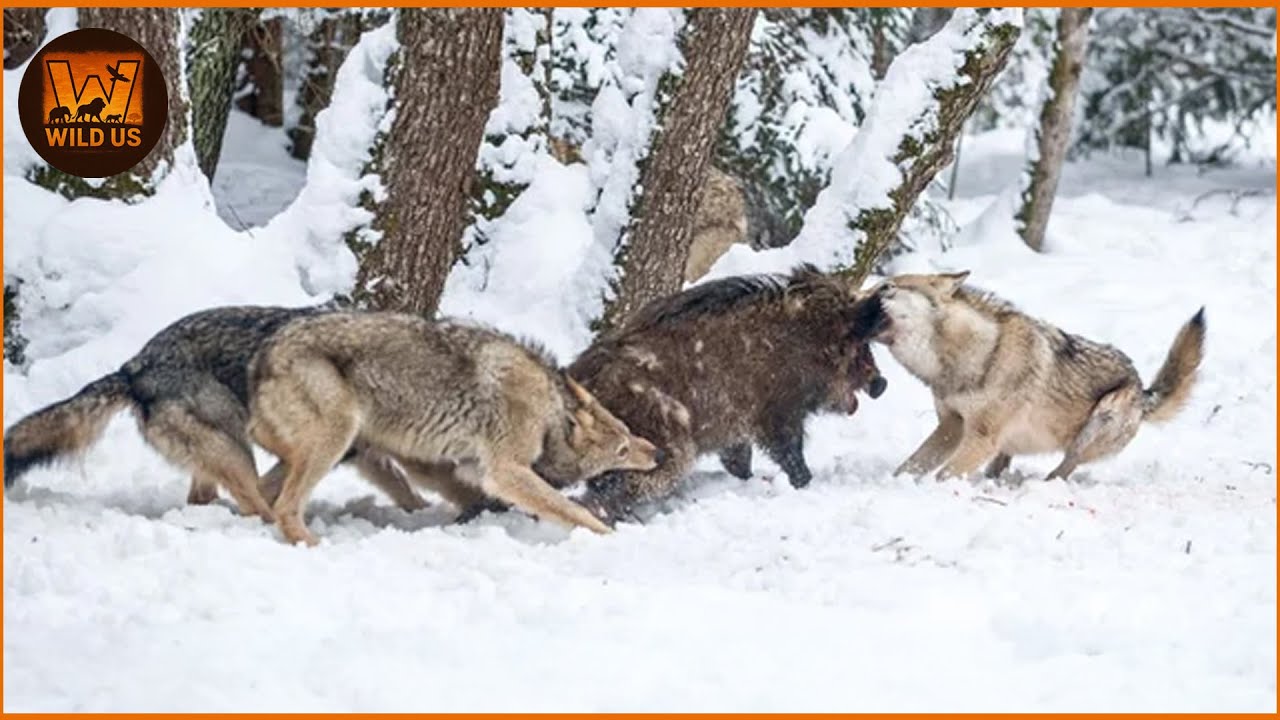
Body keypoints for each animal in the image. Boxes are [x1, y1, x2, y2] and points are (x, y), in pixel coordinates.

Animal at [3, 305, 431, 518]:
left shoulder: (360, 451)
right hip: (235, 450)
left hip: (222, 452)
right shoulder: (346, 446)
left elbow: (405, 490)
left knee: (206, 496)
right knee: (255, 505)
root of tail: (134, 367)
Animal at [246, 312, 662, 545]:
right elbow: (571, 510)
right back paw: (314, 545)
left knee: (262, 493)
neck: (548, 414)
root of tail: (262, 358)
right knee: (285, 506)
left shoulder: (460, 468)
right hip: (338, 436)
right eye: (622, 450)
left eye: (628, 431)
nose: (656, 452)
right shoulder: (506, 471)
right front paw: (610, 538)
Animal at [566, 265, 889, 524]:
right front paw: (804, 484)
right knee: (608, 492)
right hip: (663, 451)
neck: (806, 342)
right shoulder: (777, 415)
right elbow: (791, 455)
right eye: (857, 342)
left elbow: (739, 462)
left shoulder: (736, 428)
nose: (881, 383)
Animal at [871, 271, 1205, 481]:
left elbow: (942, 476)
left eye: (886, 288)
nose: (859, 295)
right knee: (1002, 465)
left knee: (1064, 469)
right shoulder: (951, 427)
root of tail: (1143, 388)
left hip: (1099, 419)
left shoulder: (981, 437)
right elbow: (908, 468)